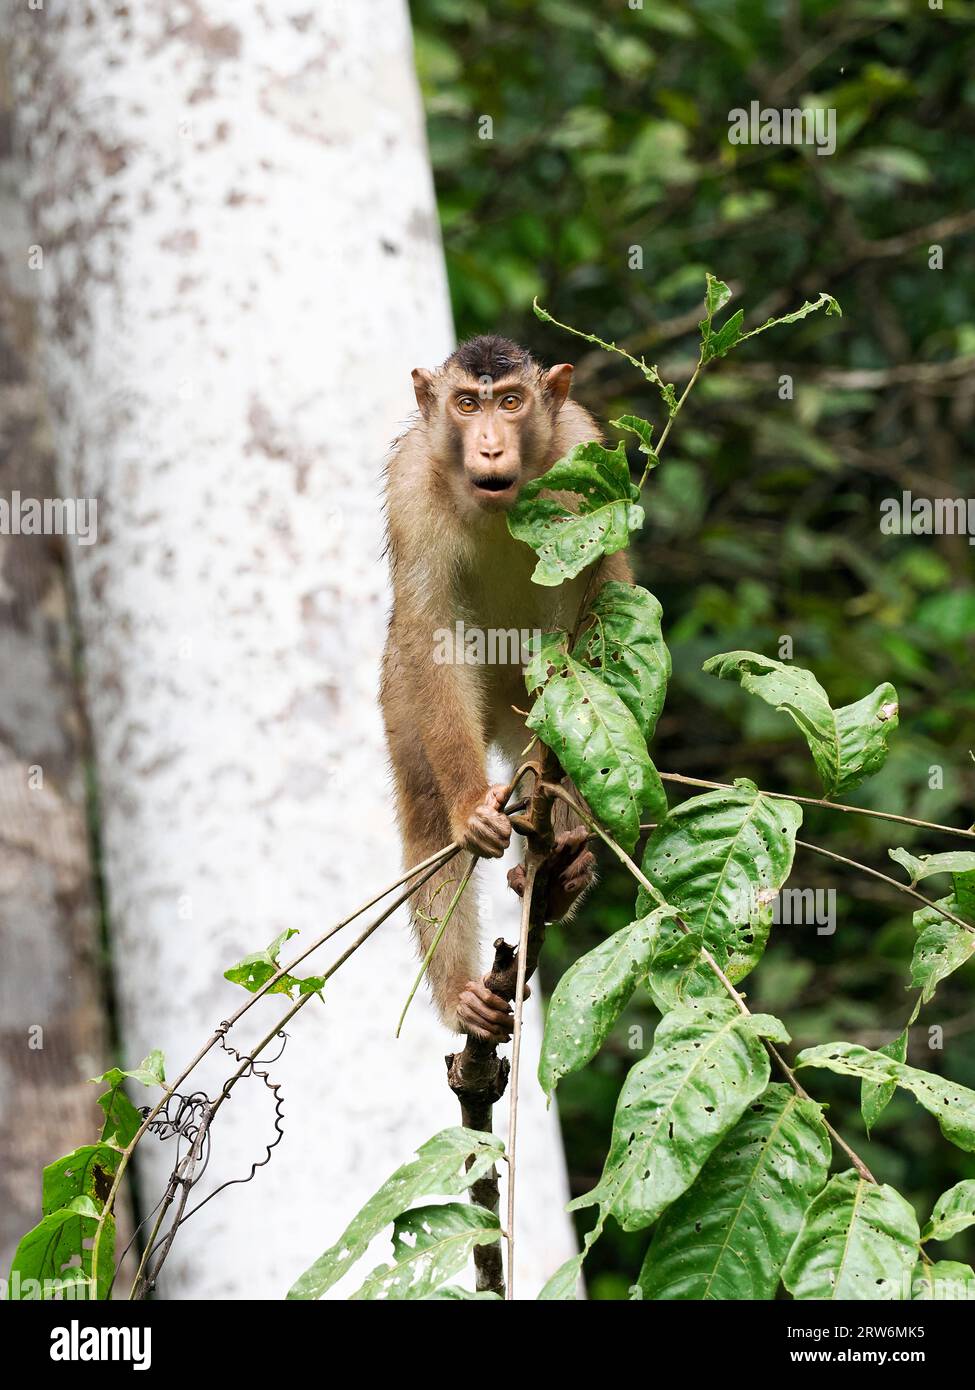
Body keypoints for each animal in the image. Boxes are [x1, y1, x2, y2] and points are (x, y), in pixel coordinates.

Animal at [380, 335, 632, 1042]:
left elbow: (595, 618)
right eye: (468, 404)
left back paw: (557, 874)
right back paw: (466, 1000)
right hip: (405, 699)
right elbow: (432, 630)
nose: (490, 446)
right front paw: (474, 813)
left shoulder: (585, 458)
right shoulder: (411, 487)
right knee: (424, 807)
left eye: (512, 402)